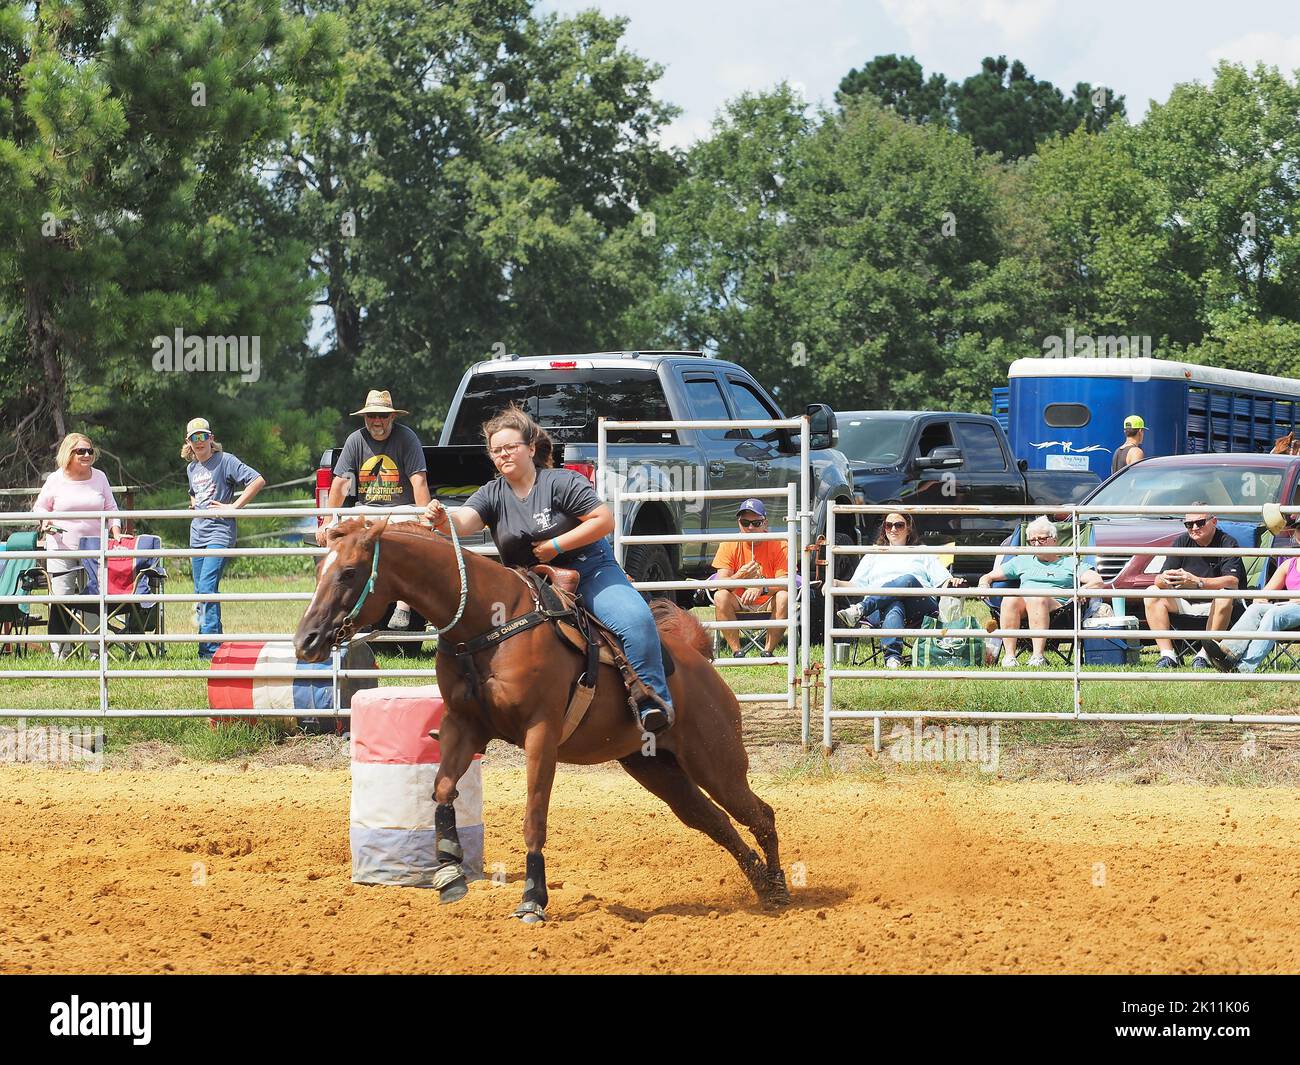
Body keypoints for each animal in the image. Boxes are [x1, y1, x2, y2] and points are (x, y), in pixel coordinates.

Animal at [294, 516, 789, 921]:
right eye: (319, 571)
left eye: (349, 572)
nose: (306, 641)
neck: (487, 625)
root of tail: (699, 660)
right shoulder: (464, 726)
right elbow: (442, 789)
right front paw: (450, 874)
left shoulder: (541, 735)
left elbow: (534, 816)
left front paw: (533, 899)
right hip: (658, 770)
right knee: (714, 822)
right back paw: (763, 887)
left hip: (716, 760)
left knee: (760, 814)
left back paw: (782, 891)